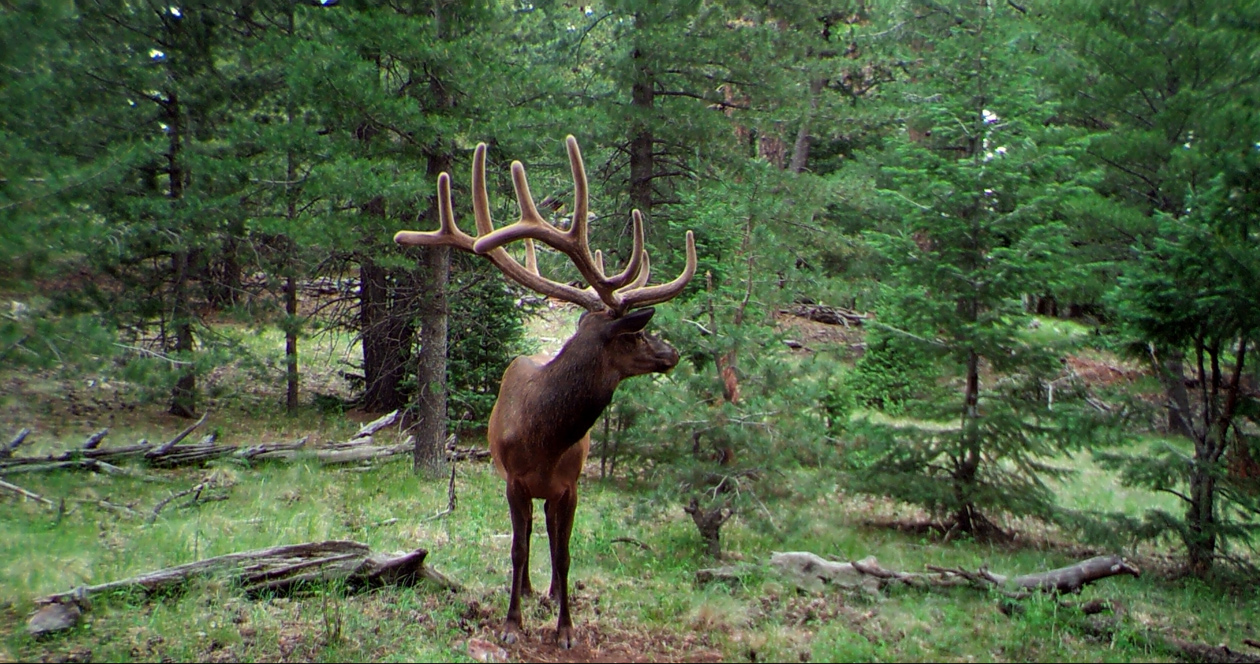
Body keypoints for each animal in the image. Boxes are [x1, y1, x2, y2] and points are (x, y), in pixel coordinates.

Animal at [394, 136, 696, 649]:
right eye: (635, 335)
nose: (671, 352)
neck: (544, 437)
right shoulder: (512, 481)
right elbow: (518, 549)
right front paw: (512, 624)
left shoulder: (569, 484)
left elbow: (566, 551)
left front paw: (566, 628)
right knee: (534, 532)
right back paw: (531, 590)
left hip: (562, 489)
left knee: (553, 536)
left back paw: (552, 592)